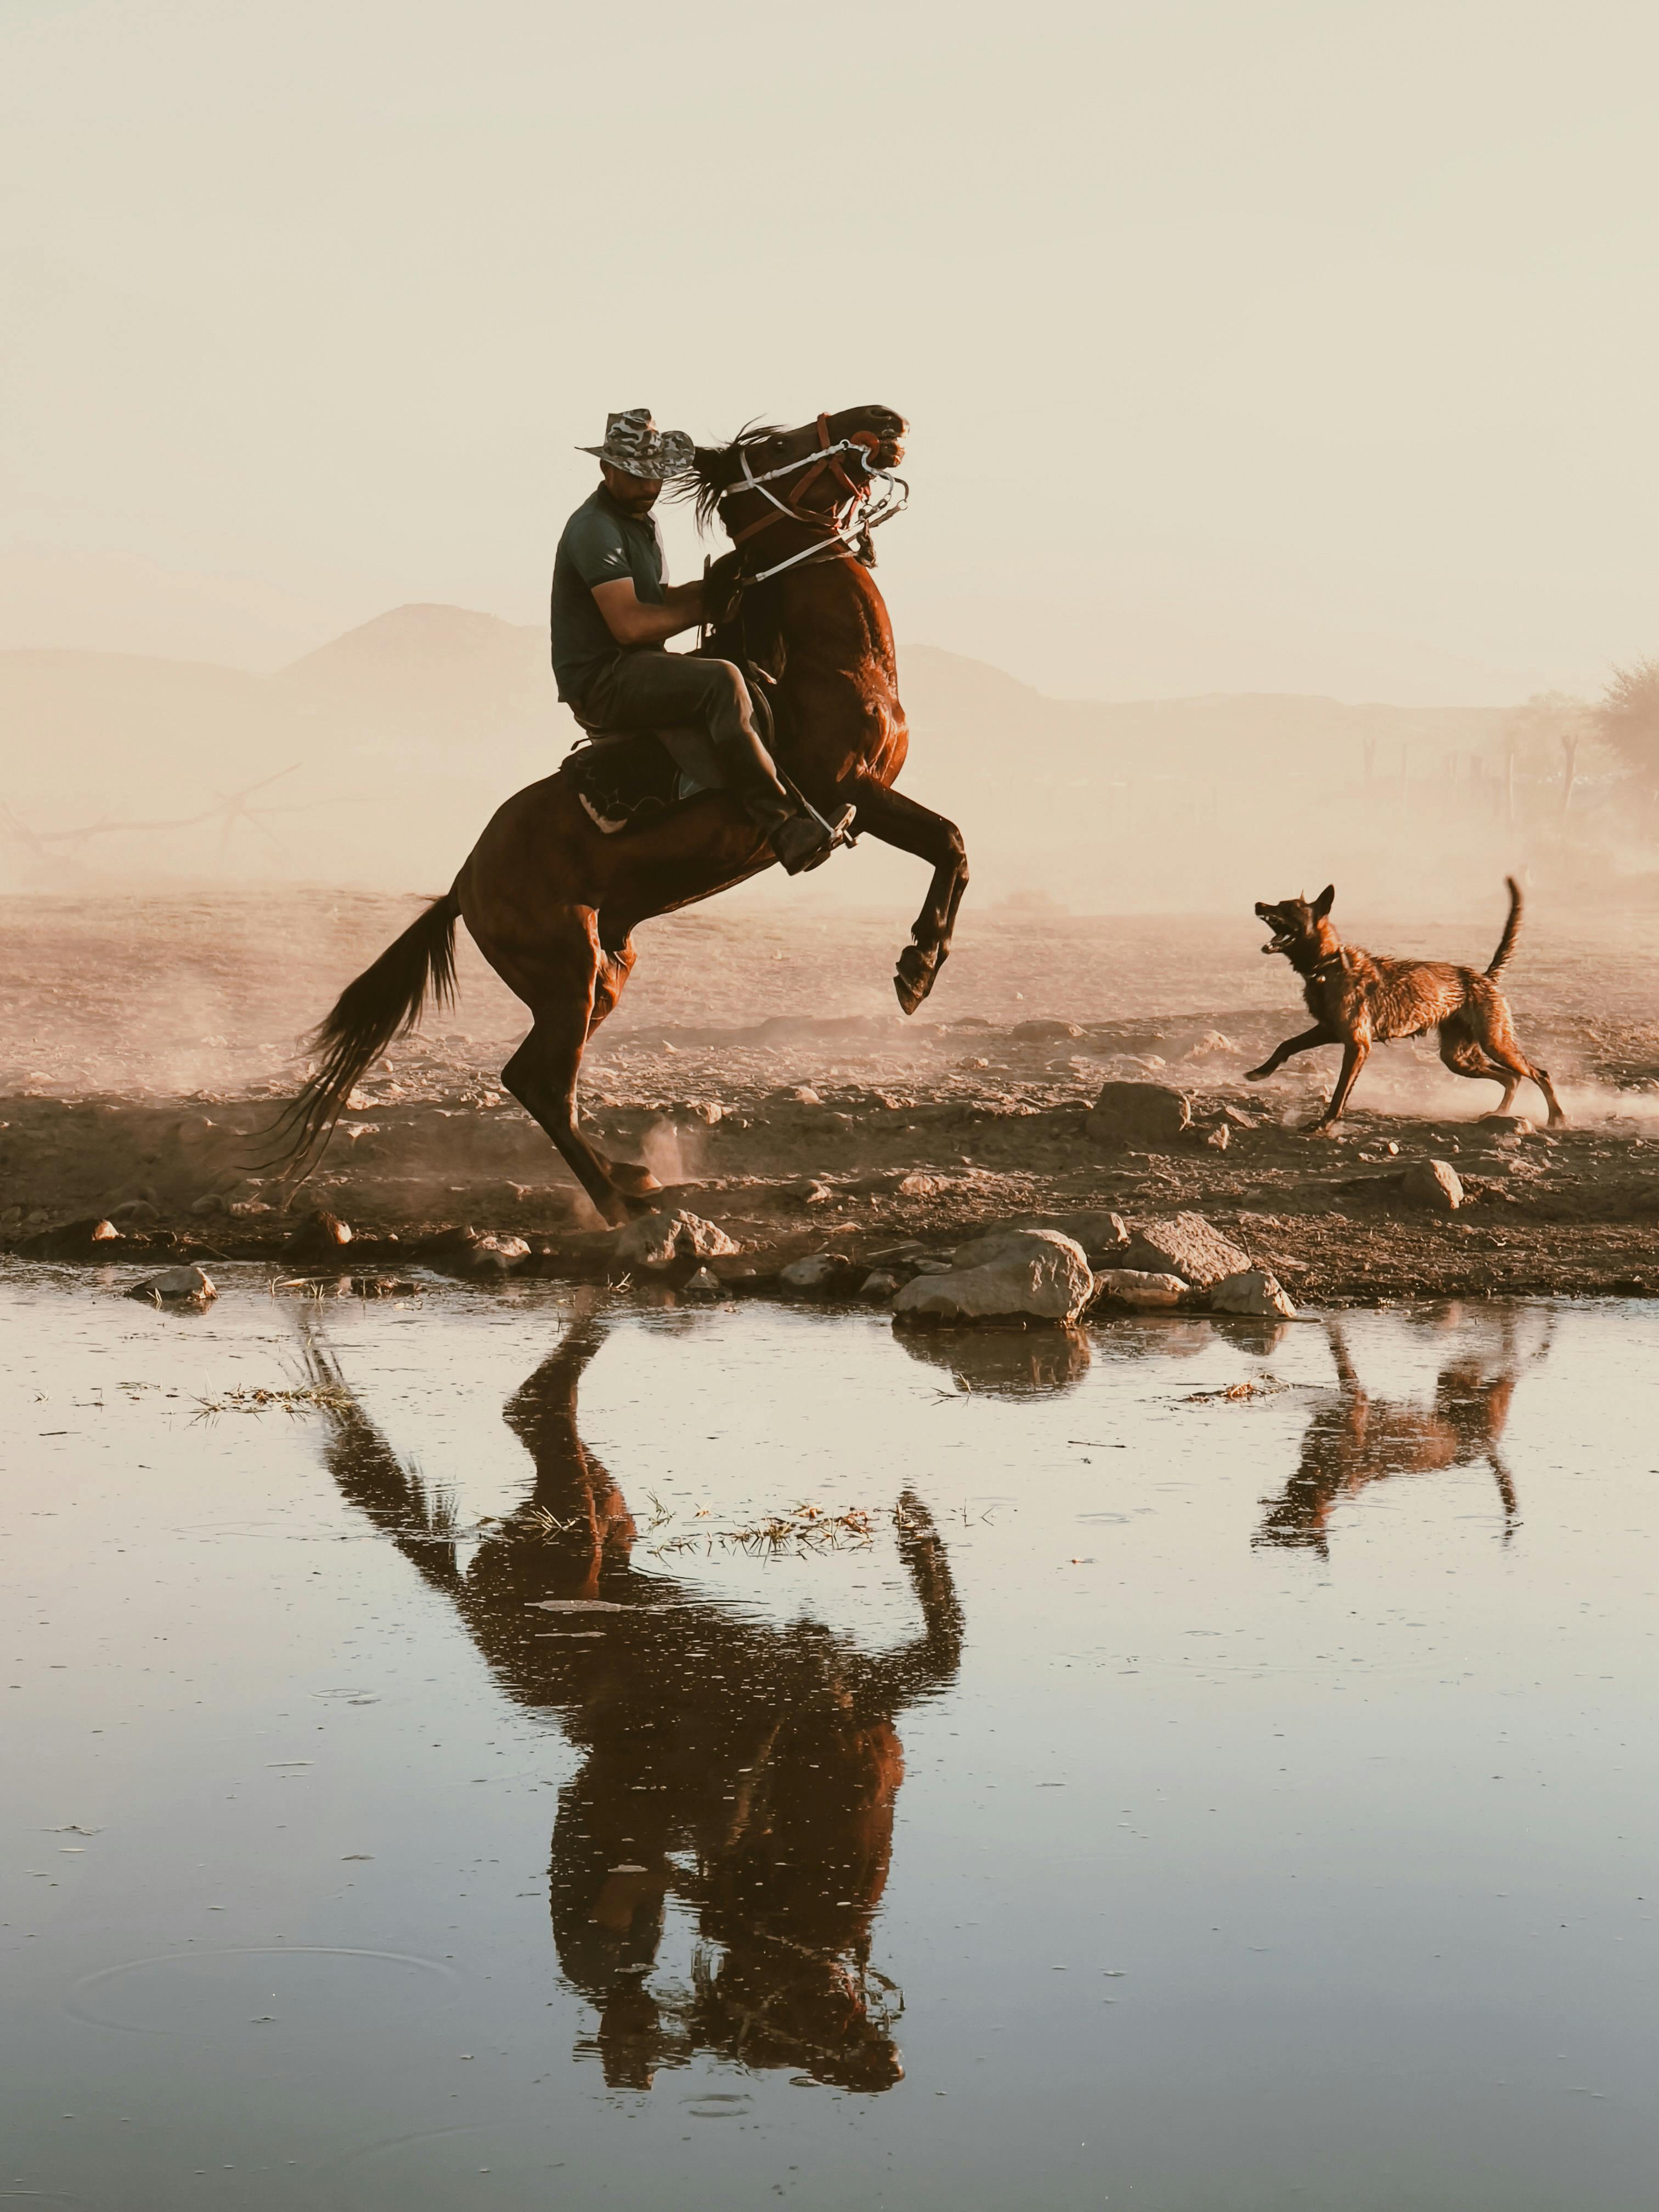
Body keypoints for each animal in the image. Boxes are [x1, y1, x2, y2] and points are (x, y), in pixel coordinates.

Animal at [272, 403, 969, 1223]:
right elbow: (947, 842)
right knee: (541, 1082)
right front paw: (916, 970)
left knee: (536, 1078)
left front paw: (921, 965)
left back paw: (630, 1177)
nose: (883, 418)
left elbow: (951, 846)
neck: (828, 660)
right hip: (569, 973)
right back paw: (617, 1202)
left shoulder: (866, 797)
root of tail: (465, 882)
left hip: (605, 968)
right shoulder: (850, 789)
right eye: (775, 444)